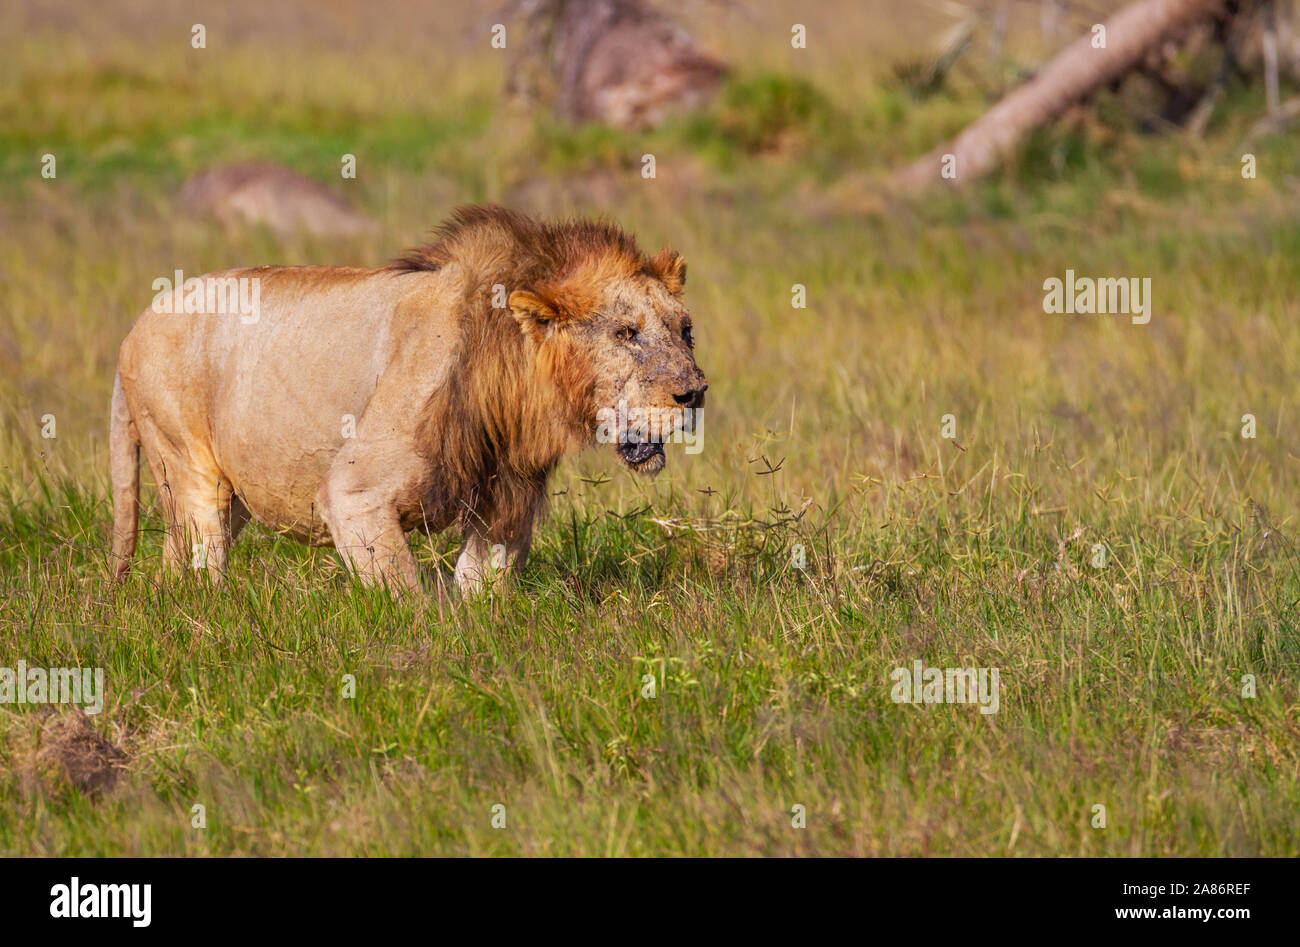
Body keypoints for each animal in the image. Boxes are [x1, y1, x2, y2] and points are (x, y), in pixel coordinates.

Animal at [110, 205, 708, 594]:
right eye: (626, 333)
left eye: (685, 330)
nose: (695, 393)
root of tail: (132, 327)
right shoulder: (356, 494)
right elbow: (406, 596)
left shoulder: (505, 499)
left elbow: (482, 590)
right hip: (189, 469)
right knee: (199, 562)